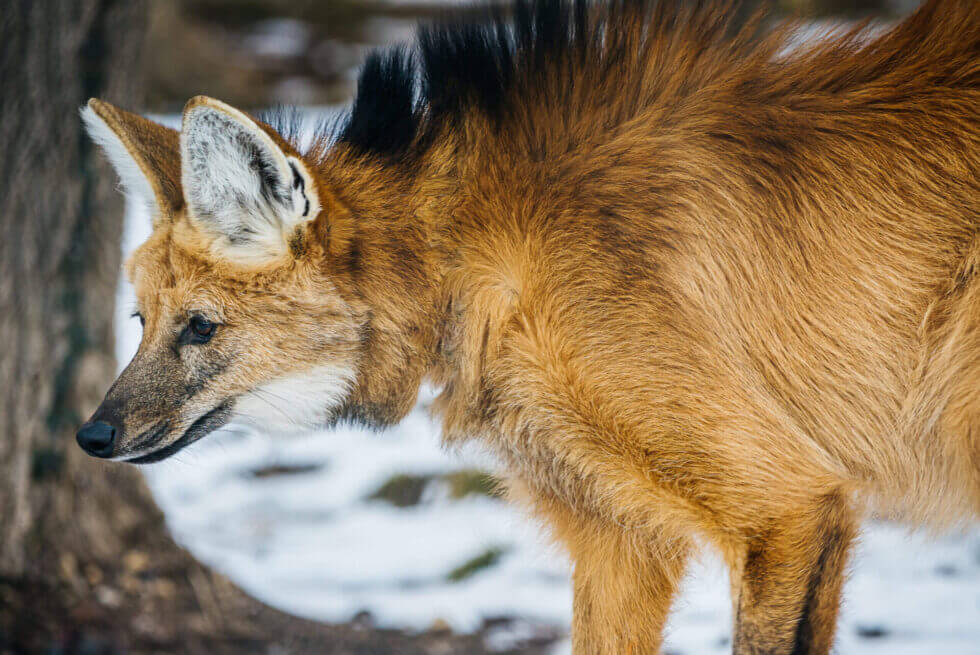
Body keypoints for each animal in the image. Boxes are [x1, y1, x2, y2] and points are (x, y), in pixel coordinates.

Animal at [78, 1, 979, 652]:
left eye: (200, 328)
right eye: (141, 320)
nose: (92, 433)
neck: (474, 257)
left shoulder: (789, 507)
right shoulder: (620, 540)